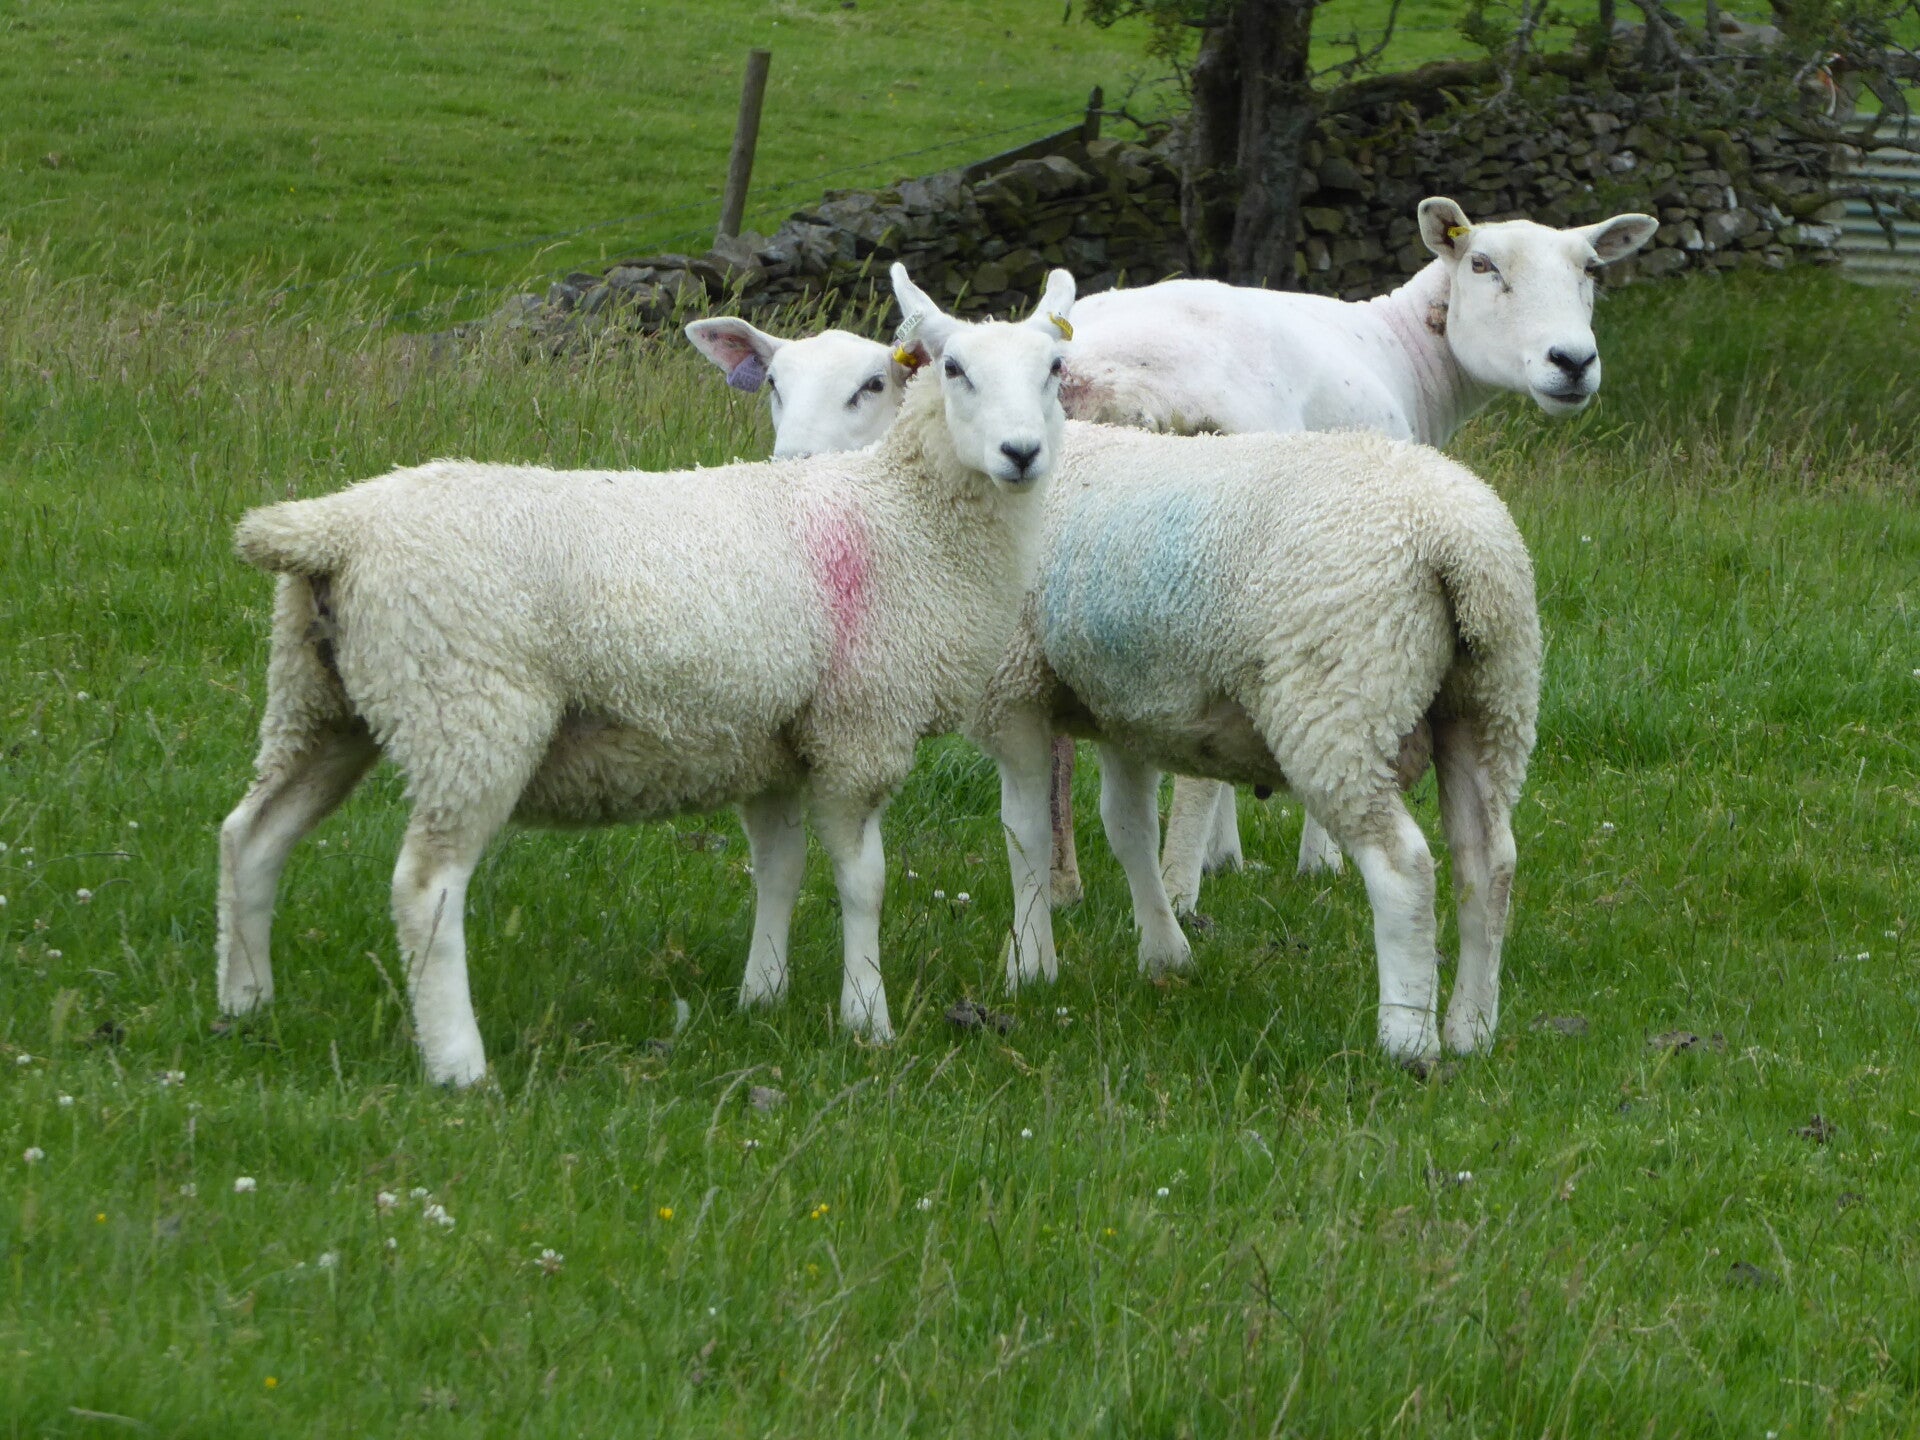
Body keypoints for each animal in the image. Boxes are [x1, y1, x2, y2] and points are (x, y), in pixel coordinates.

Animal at [967, 421, 1541, 1064]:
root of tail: (1464, 547)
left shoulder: (1012, 690)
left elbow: (1026, 834)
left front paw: (1029, 968)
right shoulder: (1123, 702)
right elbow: (1128, 827)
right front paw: (1163, 953)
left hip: (1342, 699)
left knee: (1403, 867)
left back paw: (1407, 1038)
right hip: (1492, 703)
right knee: (1488, 865)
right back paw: (1472, 1030)